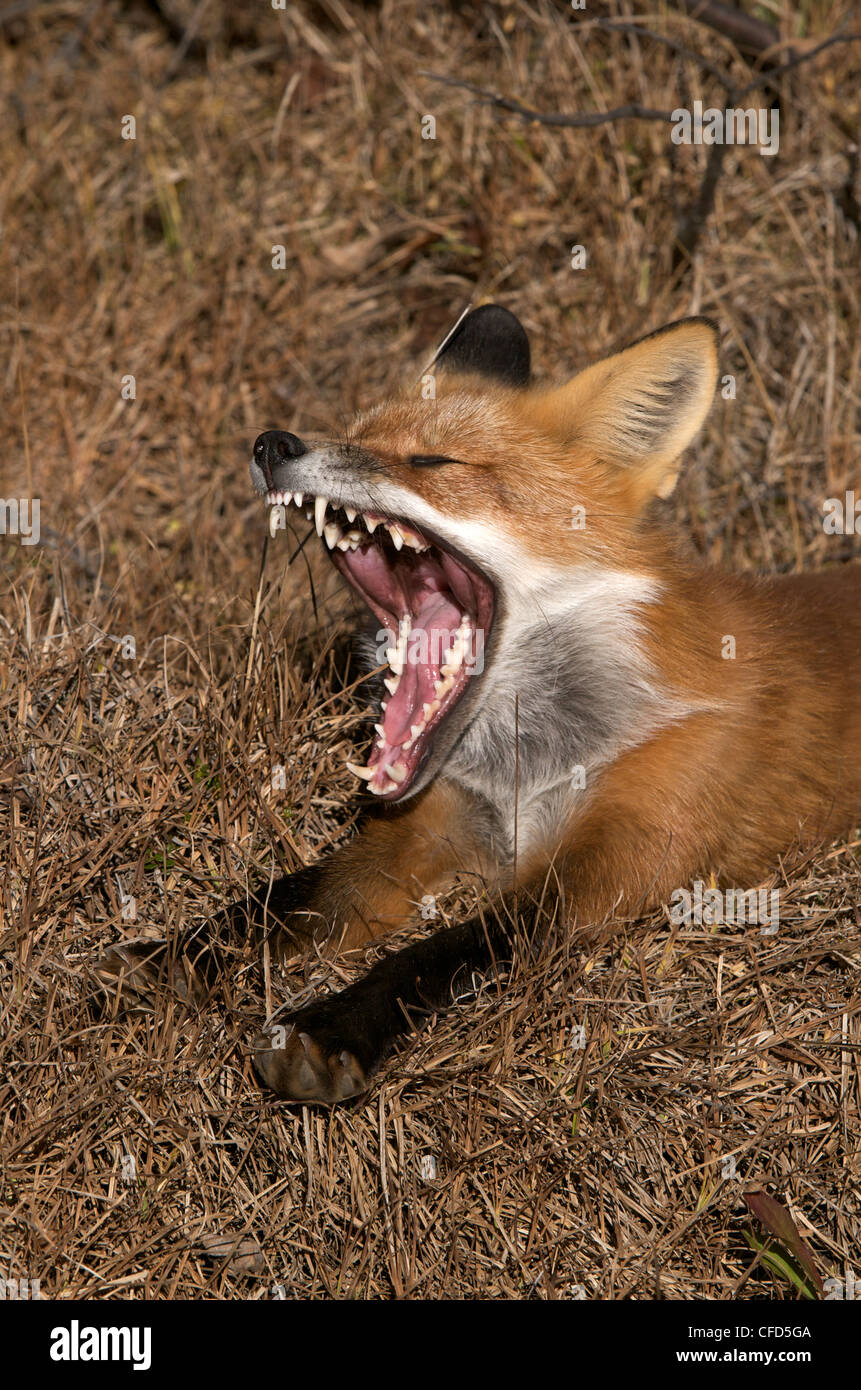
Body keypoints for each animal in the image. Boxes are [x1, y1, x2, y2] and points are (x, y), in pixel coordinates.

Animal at [104, 305, 861, 1104]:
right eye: (358, 433)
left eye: (433, 462)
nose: (272, 444)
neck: (525, 771)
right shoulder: (426, 825)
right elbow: (287, 898)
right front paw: (171, 957)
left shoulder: (620, 866)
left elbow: (448, 949)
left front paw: (332, 1028)